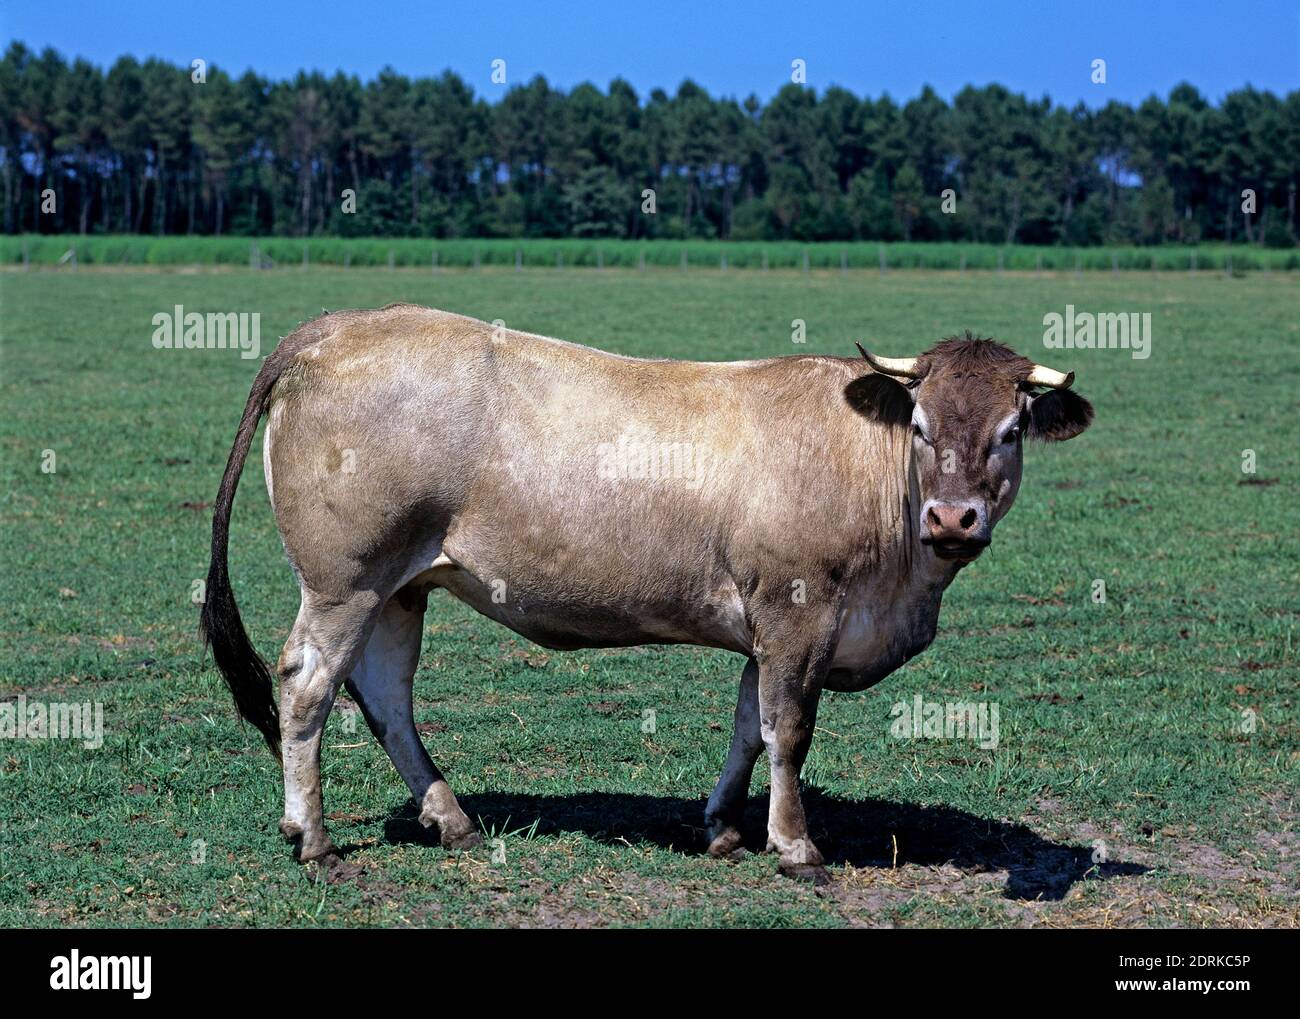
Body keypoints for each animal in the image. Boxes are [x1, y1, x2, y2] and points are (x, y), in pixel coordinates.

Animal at [201, 304, 1093, 881]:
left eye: (1011, 430)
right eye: (920, 426)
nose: (953, 516)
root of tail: (340, 324)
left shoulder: (769, 627)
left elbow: (748, 728)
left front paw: (724, 828)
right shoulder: (799, 609)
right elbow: (789, 731)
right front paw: (796, 847)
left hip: (400, 586)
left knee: (385, 694)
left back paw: (450, 818)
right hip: (346, 579)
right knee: (307, 685)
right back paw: (314, 837)